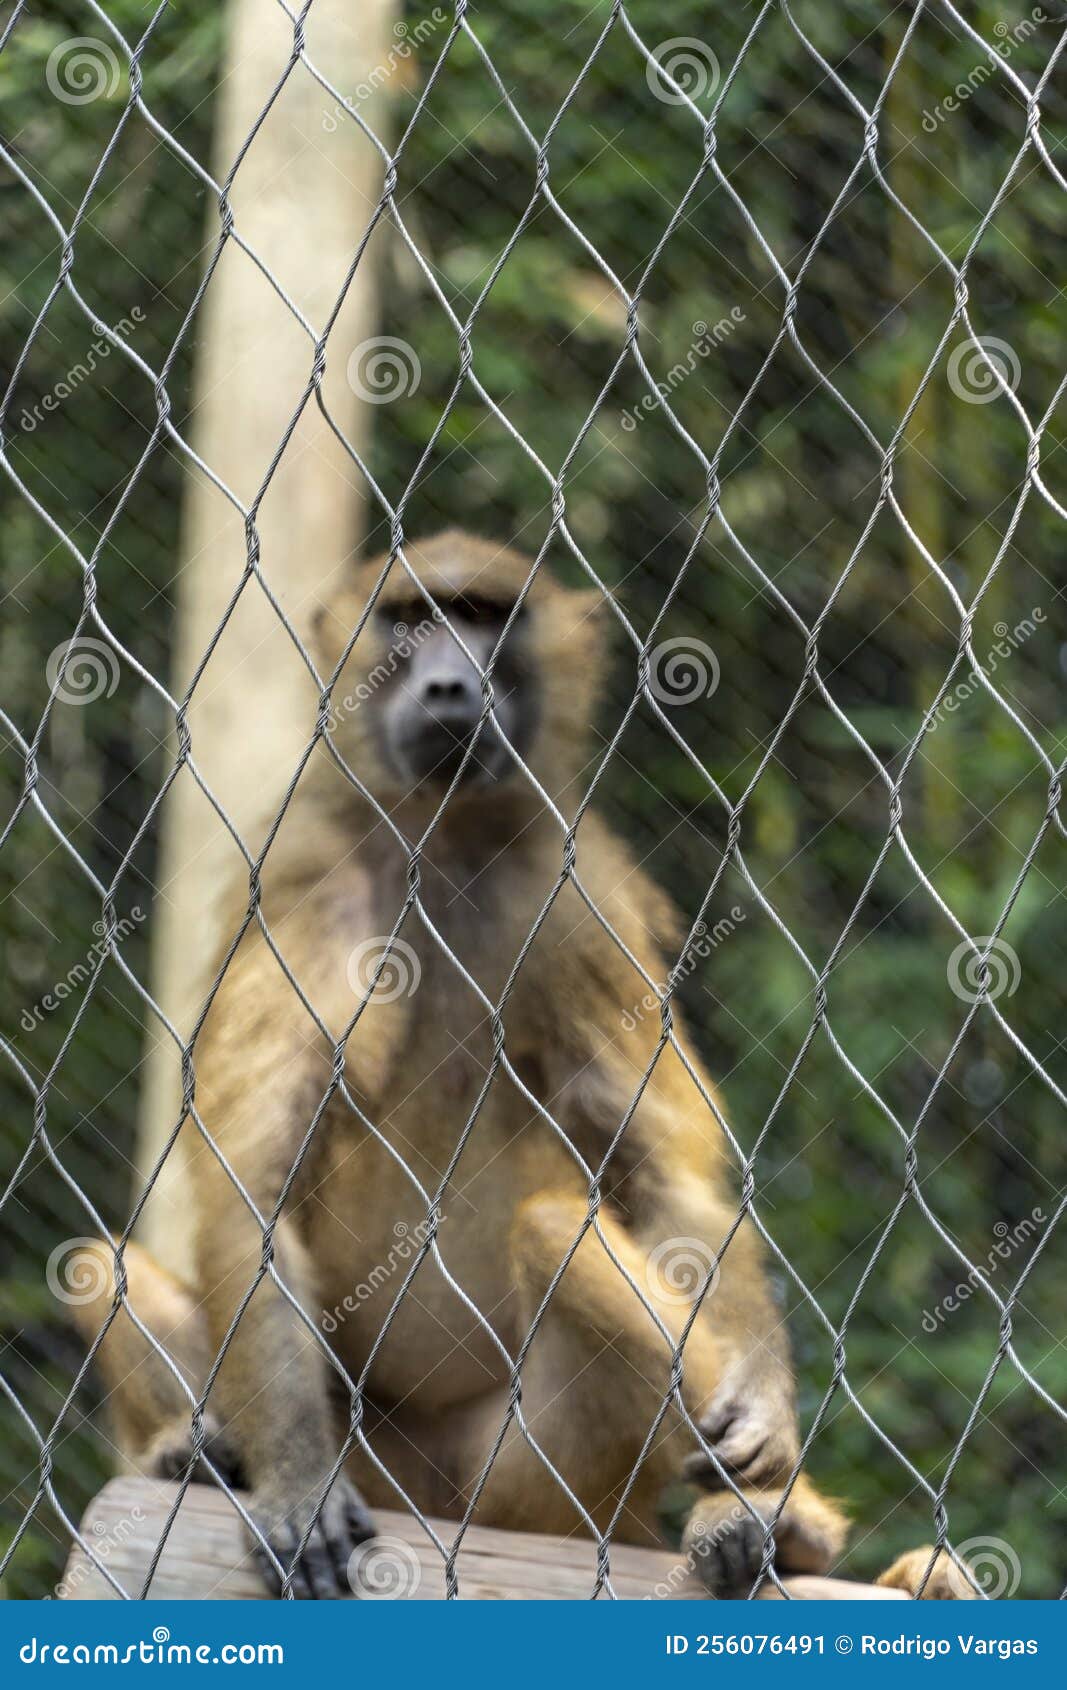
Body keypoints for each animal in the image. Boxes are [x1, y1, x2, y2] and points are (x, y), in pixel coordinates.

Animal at [70, 531, 973, 1600]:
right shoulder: (300, 886)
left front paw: (762, 1418)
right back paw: (198, 1452)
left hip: (526, 1484)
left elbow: (665, 1176)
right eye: (412, 620)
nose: (449, 686)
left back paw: (778, 1527)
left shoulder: (578, 902)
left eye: (485, 618)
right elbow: (248, 1187)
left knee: (553, 1229)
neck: (445, 838)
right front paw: (293, 1482)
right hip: (389, 1459)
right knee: (93, 1265)